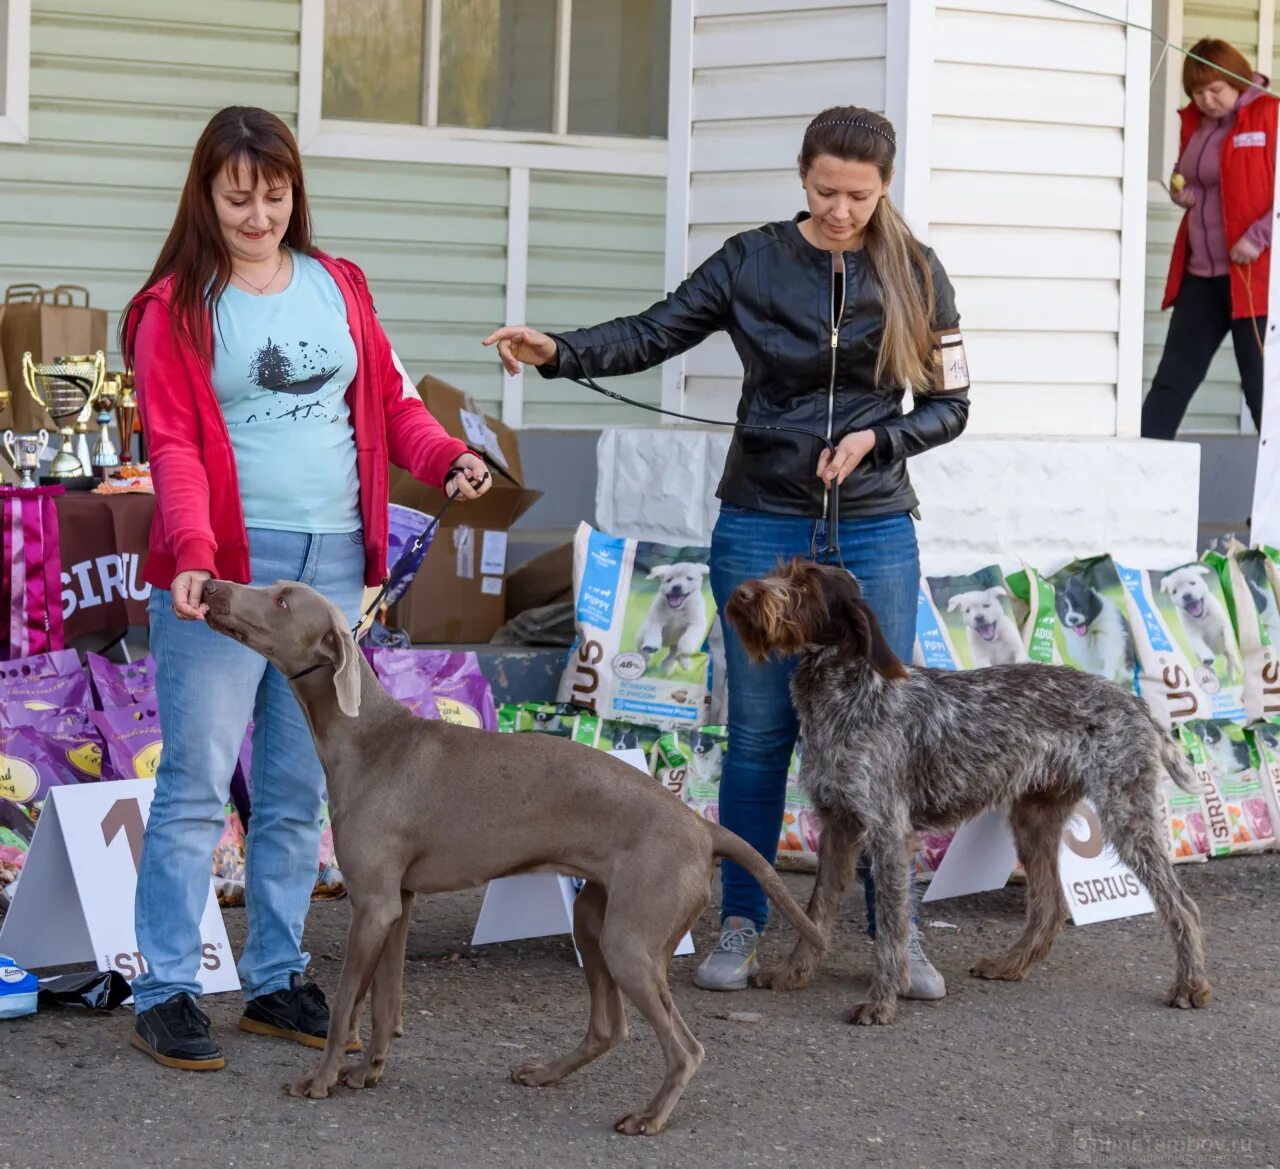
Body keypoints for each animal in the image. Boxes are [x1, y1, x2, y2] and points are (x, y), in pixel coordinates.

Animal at [199, 578, 819, 1136]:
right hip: (594, 920)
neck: (368, 738)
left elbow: (347, 1005)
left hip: (632, 942)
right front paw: (367, 1070)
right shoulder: (397, 903)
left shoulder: (372, 905)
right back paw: (546, 1072)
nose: (209, 587)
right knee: (609, 1026)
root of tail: (700, 825)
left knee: (686, 1048)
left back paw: (649, 1116)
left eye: (283, 600)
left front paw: (321, 1079)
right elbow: (384, 1003)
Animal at [727, 555, 1213, 1024]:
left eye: (805, 585)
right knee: (1050, 905)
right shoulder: (839, 826)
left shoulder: (887, 834)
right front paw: (794, 973)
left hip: (1125, 812)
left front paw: (882, 1001)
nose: (742, 592)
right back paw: (1010, 965)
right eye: (779, 570)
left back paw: (1190, 985)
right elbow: (815, 909)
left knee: (1182, 904)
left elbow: (890, 926)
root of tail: (1135, 702)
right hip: (1034, 818)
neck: (843, 692)